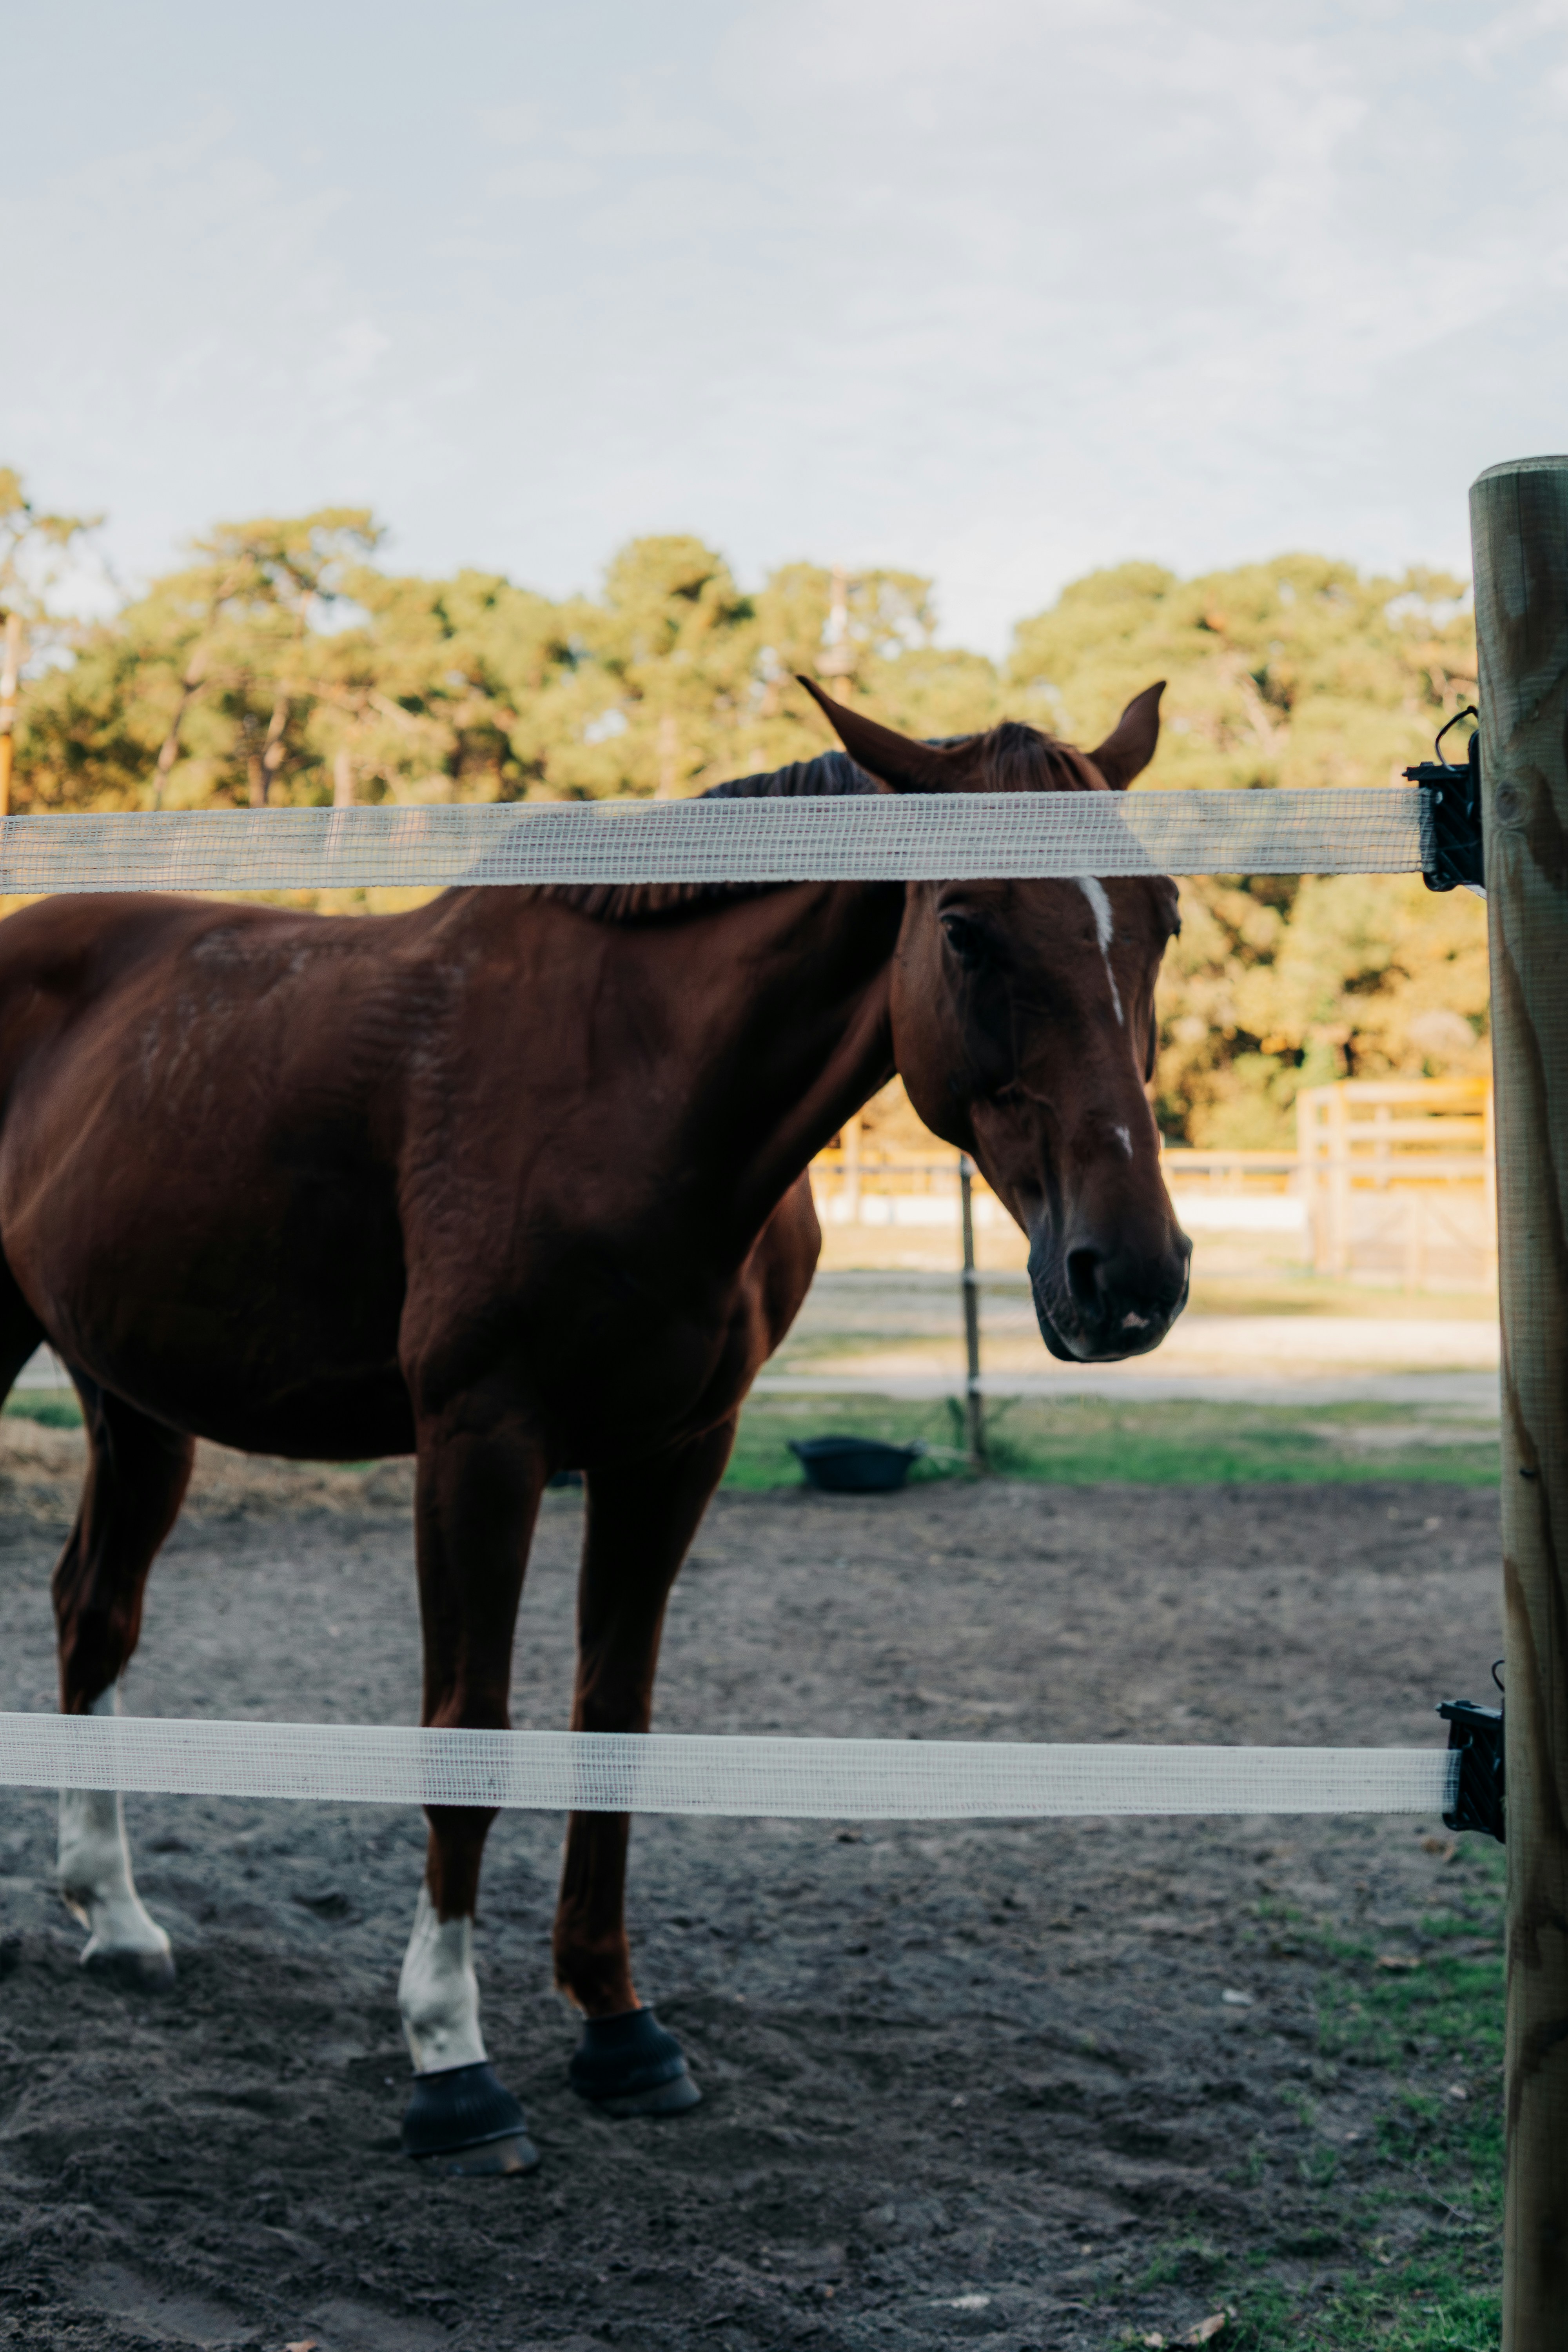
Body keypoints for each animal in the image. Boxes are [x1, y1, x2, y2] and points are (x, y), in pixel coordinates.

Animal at [0, 679, 1190, 2174]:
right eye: (966, 927)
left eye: (1158, 914)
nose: (1128, 1273)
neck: (641, 1093)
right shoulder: (480, 1445)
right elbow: (470, 1727)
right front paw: (451, 2061)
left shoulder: (674, 1452)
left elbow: (611, 1714)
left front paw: (620, 2028)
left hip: (136, 1400)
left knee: (93, 1614)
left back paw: (117, 1916)